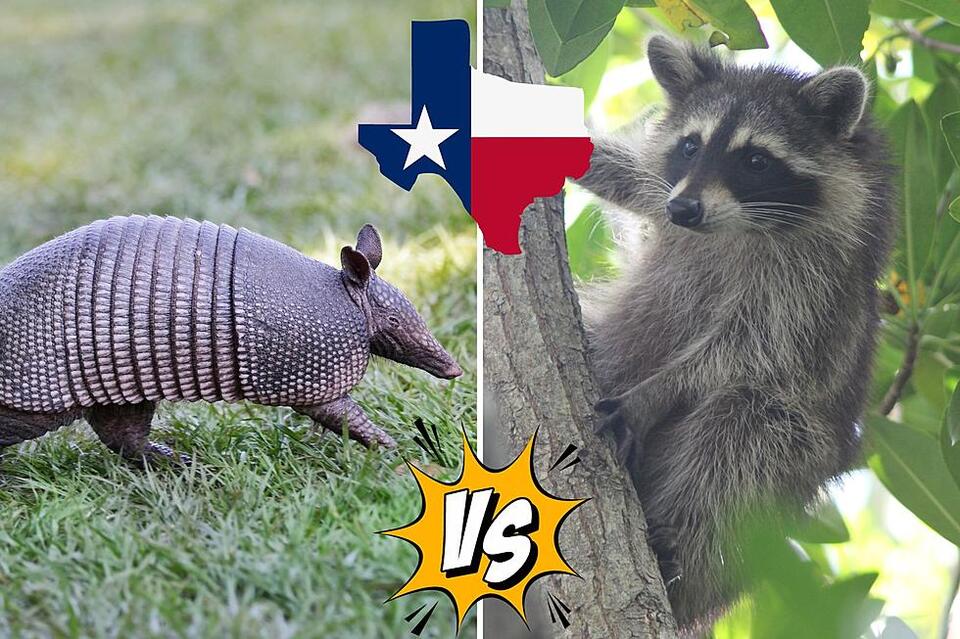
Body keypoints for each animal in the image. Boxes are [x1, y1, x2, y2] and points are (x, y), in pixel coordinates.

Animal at [575, 36, 894, 633]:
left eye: (755, 160)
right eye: (690, 146)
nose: (685, 208)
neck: (731, 226)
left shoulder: (811, 287)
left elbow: (746, 355)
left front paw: (655, 393)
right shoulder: (664, 195)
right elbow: (628, 177)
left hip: (803, 463)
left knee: (749, 428)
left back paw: (680, 553)